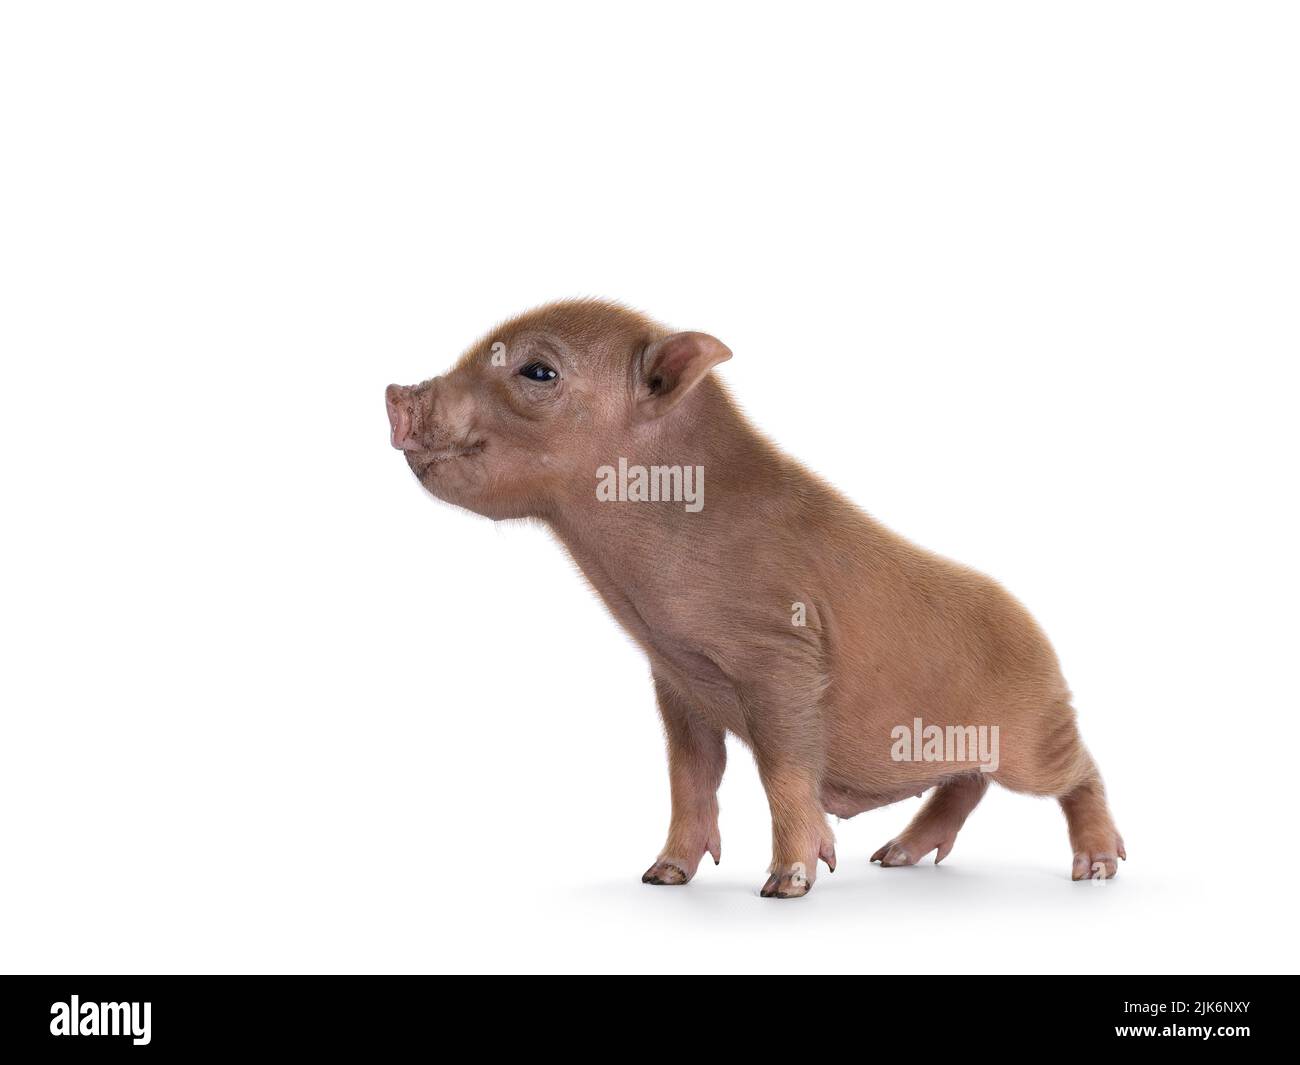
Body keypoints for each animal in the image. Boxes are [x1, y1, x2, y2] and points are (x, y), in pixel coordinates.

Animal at [385, 298, 1125, 898]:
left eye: (537, 372)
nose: (395, 391)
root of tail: (1036, 630)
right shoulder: (677, 678)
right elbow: (690, 775)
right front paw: (661, 876)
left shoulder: (784, 656)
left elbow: (784, 770)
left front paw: (786, 885)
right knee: (966, 781)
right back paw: (893, 857)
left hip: (1034, 732)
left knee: (1080, 768)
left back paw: (1095, 868)